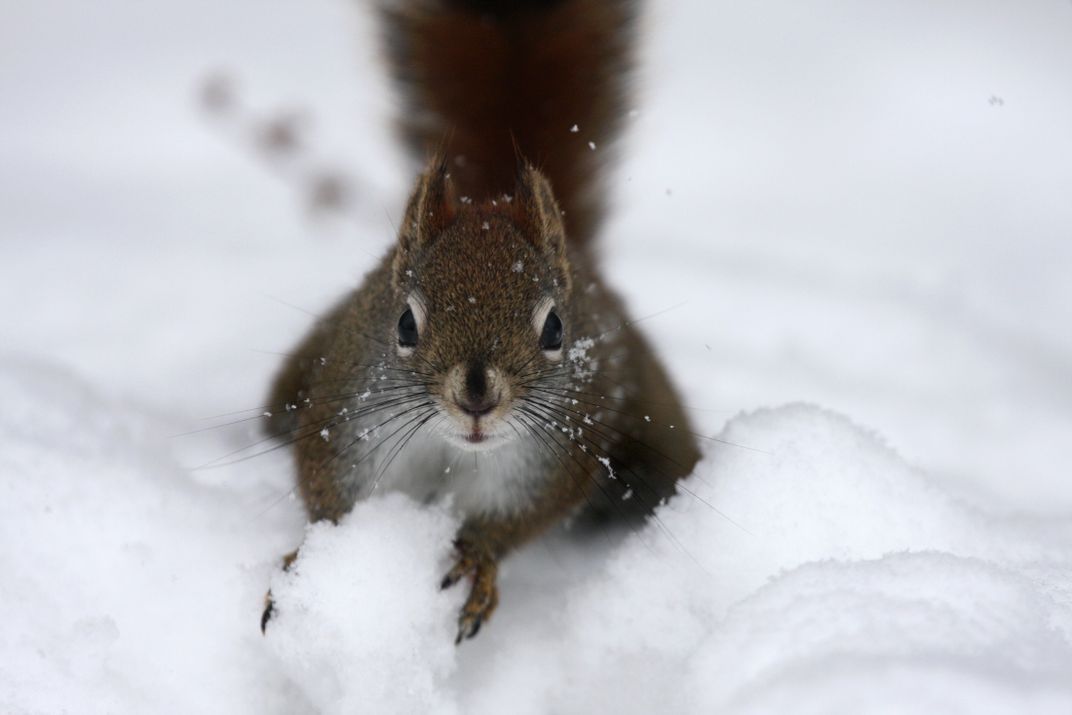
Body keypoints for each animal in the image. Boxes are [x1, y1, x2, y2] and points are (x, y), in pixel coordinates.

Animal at [260, 0, 700, 643]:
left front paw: (479, 560)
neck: (452, 448)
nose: (476, 396)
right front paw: (310, 561)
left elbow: (516, 519)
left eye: (555, 330)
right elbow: (328, 499)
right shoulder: (344, 423)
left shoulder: (551, 453)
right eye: (405, 325)